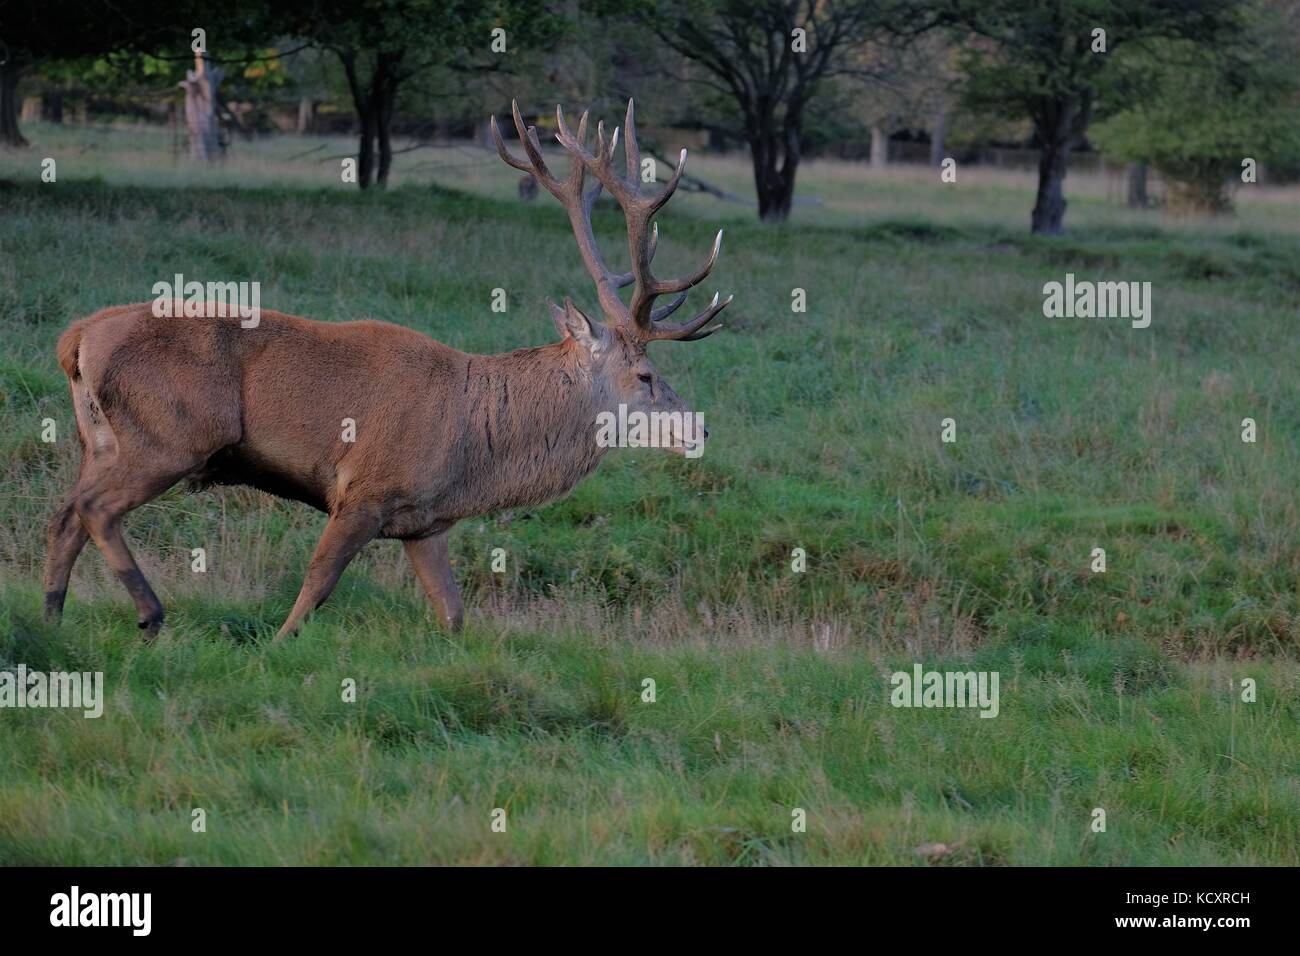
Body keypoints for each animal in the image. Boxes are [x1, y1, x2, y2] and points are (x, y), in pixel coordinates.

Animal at [42, 100, 731, 642]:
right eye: (645, 375)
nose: (701, 429)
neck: (473, 450)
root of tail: (76, 339)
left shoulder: (424, 522)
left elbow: (453, 615)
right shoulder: (364, 488)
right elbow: (318, 583)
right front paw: (278, 644)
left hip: (99, 438)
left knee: (65, 512)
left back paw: (52, 612)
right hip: (173, 435)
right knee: (96, 509)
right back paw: (149, 613)